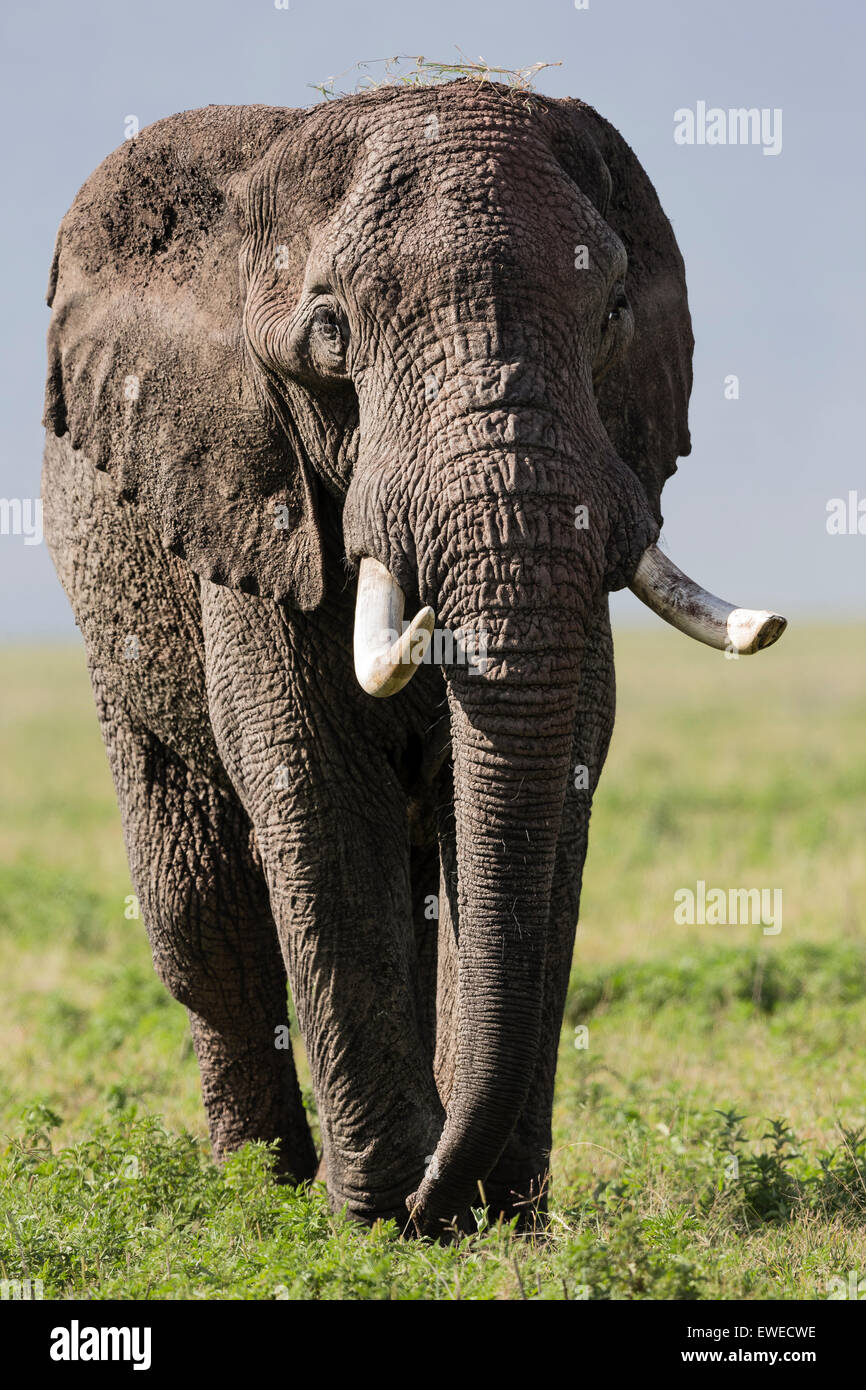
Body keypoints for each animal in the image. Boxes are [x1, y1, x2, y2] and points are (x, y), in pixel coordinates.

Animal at [41, 79, 786, 1236]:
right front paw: (388, 1206)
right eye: (331, 335)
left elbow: (557, 772)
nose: (449, 1191)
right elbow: (311, 780)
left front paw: (490, 1209)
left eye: (612, 318)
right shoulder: (257, 498)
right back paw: (257, 1187)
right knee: (199, 914)